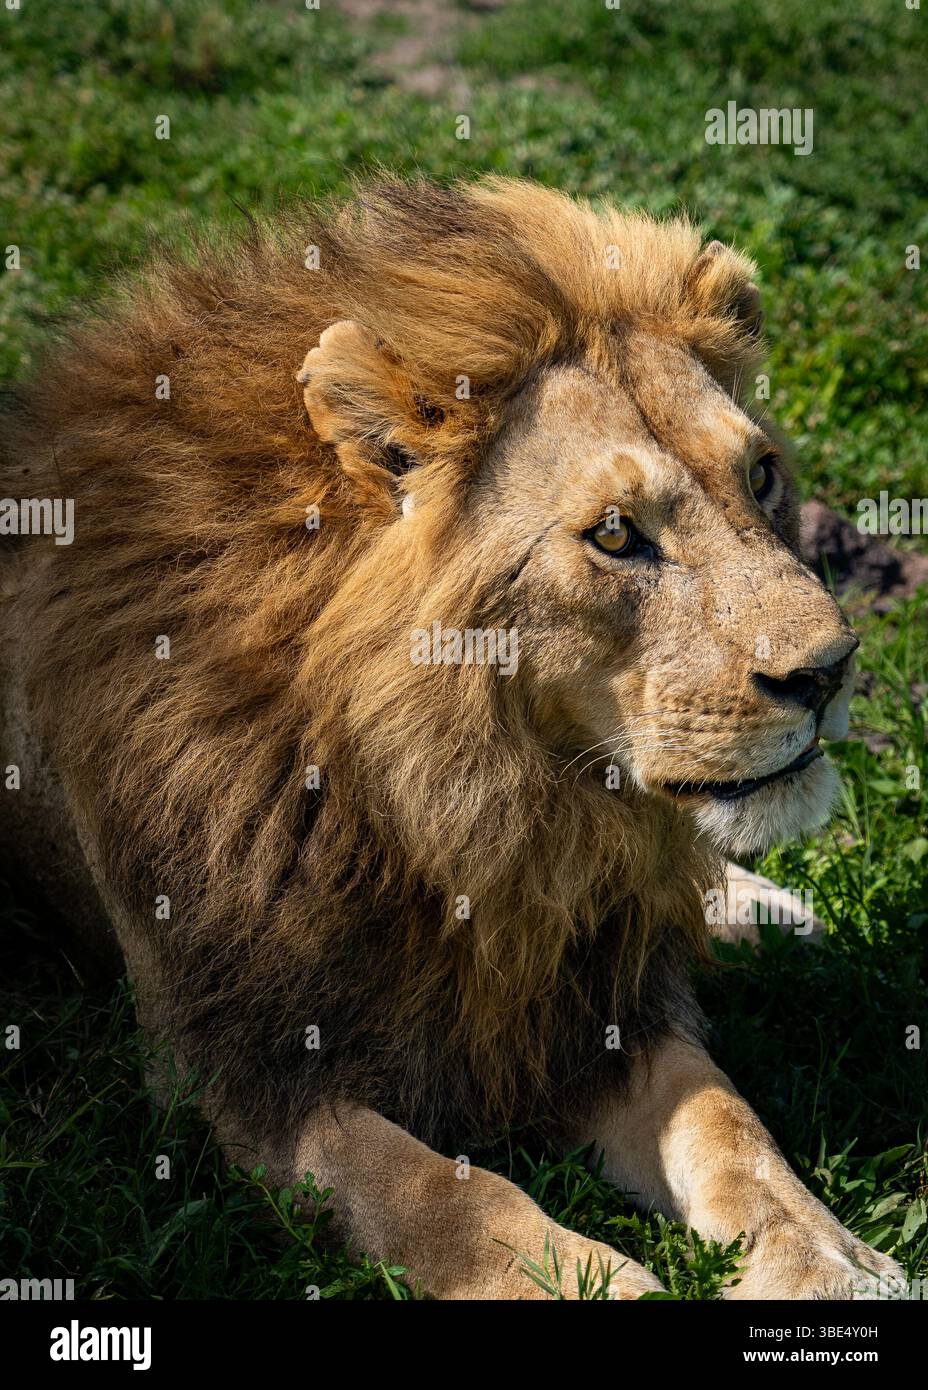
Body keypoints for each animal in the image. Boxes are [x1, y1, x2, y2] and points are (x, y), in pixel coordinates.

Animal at [0, 175, 905, 1299]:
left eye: (763, 476)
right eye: (615, 533)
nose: (829, 671)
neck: (468, 803)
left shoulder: (592, 1006)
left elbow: (731, 1128)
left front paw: (827, 1259)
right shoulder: (245, 1066)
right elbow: (447, 1196)